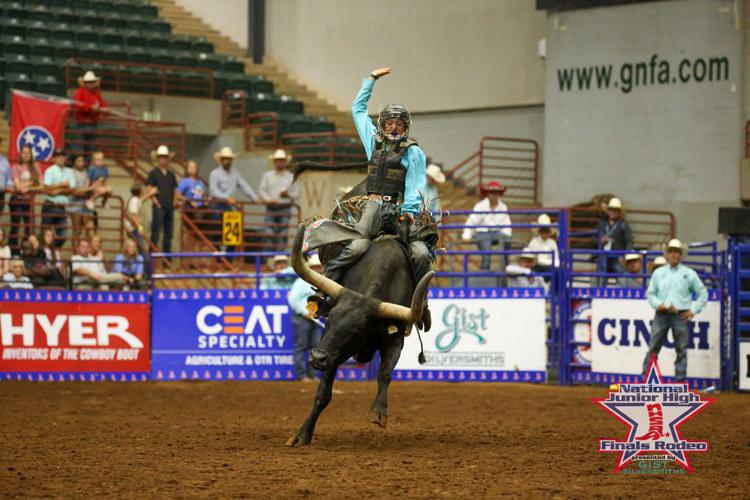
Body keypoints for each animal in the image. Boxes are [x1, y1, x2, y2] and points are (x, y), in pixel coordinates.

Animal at [285, 223, 434, 447]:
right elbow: (323, 394)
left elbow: (384, 373)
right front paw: (302, 435)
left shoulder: (394, 342)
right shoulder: (333, 351)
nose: (317, 358)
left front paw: (378, 412)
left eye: (357, 329)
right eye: (330, 319)